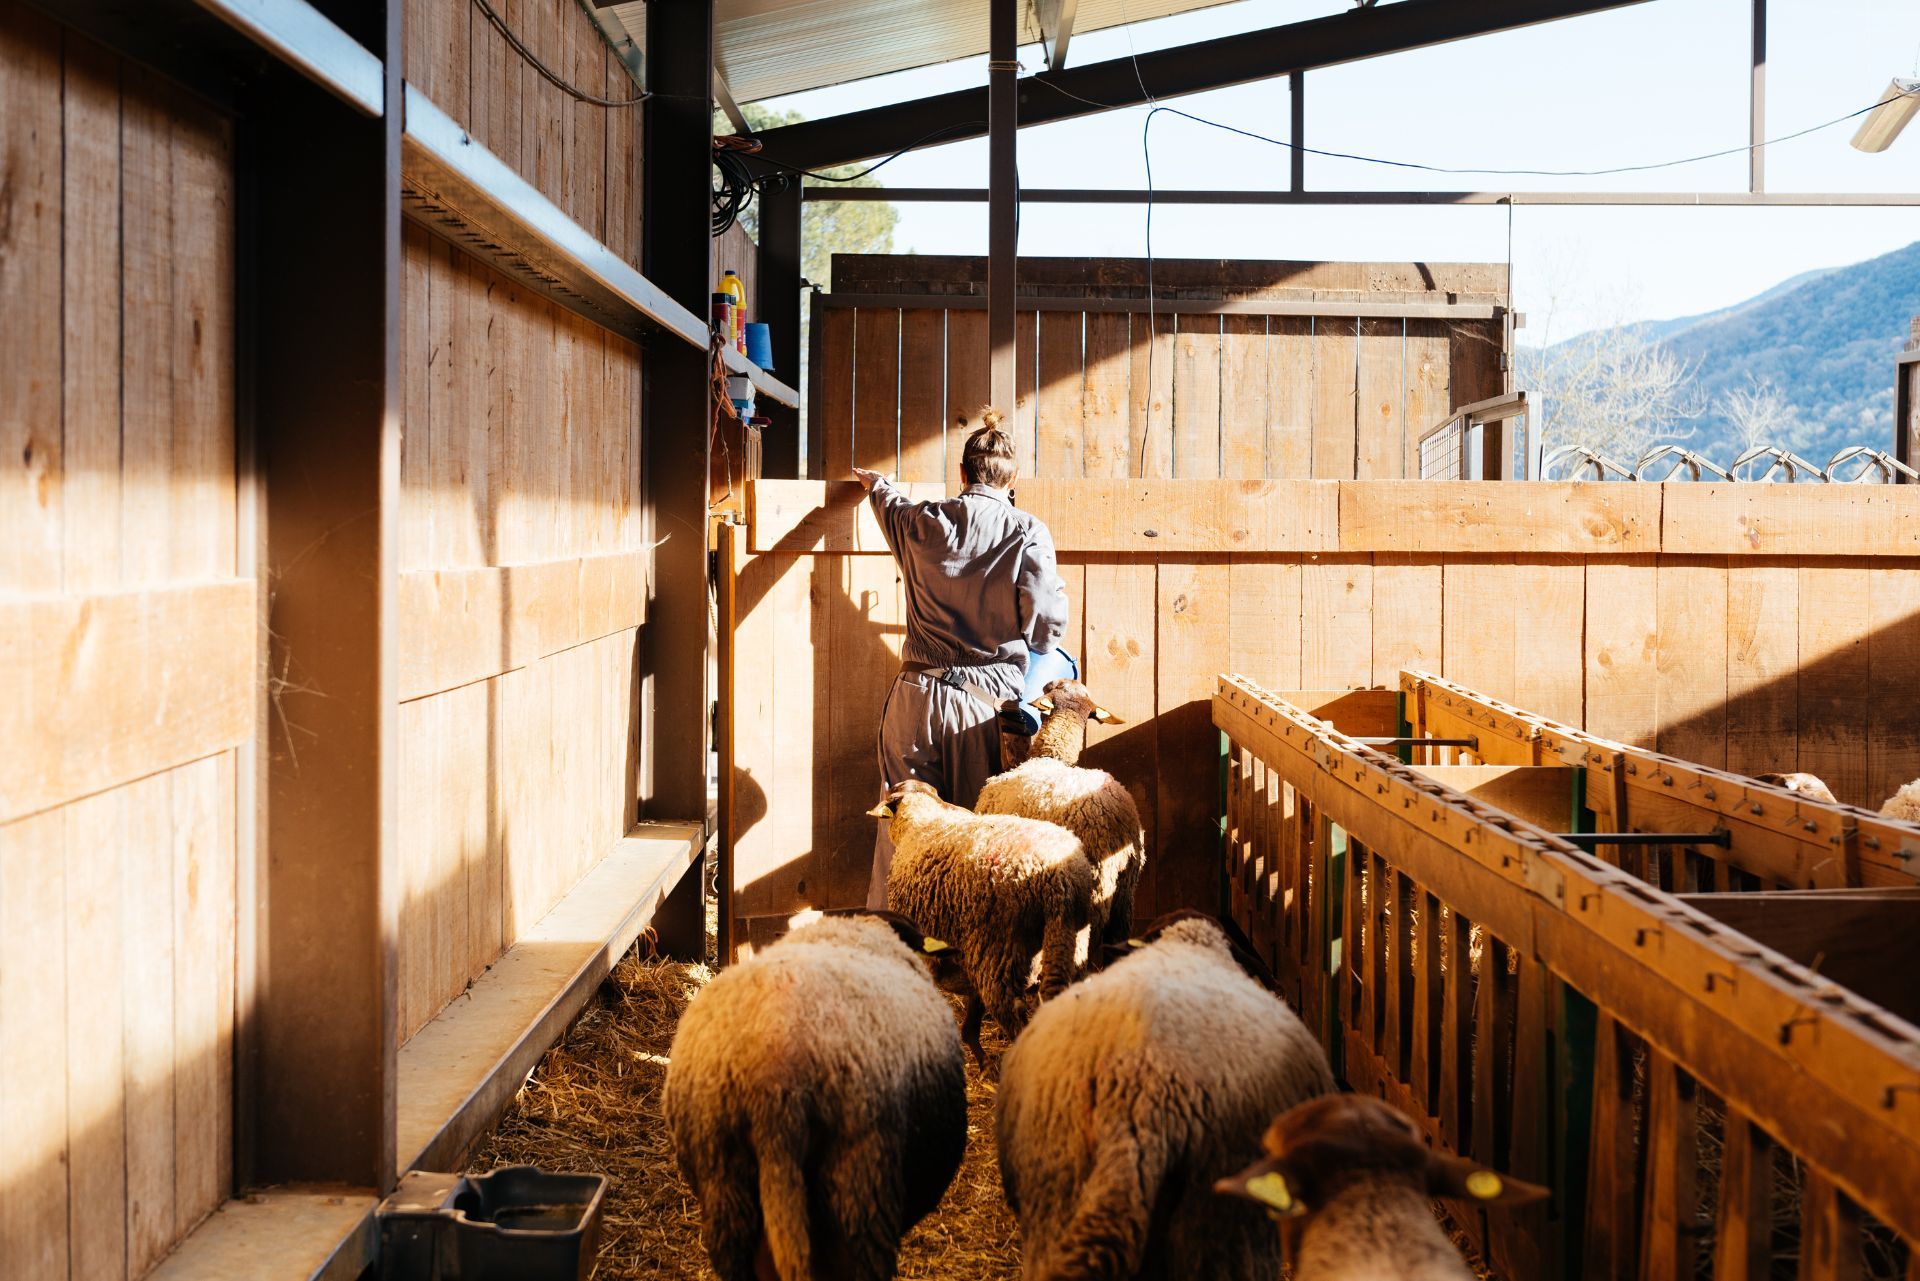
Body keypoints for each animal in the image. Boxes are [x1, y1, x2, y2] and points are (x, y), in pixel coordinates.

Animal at [871, 778, 1095, 1068]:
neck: (922, 821)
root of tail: (1059, 880)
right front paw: (980, 1056)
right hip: (1068, 941)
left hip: (997, 948)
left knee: (1010, 1011)